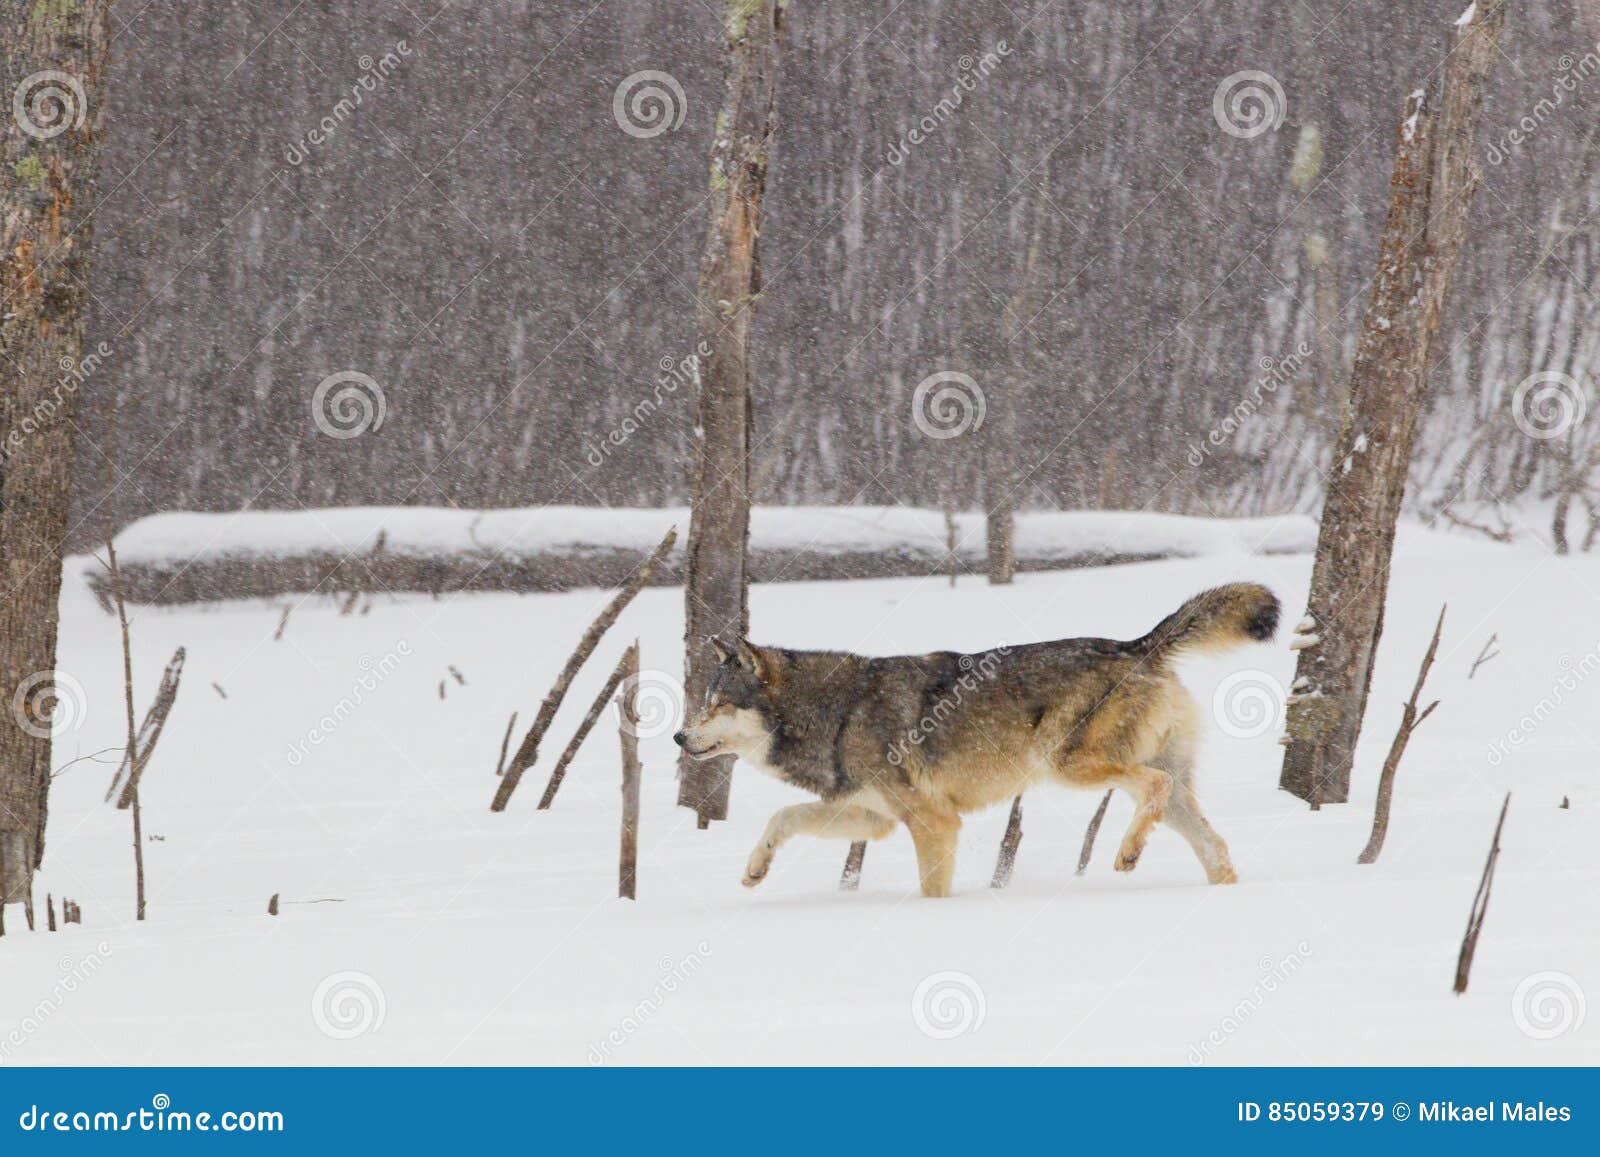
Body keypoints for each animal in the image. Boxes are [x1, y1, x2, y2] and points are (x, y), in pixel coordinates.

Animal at [674, 582, 1280, 897]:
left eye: (718, 703)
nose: (679, 736)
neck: (836, 712)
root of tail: (1138, 645)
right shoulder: (875, 817)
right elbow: (783, 817)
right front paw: (756, 868)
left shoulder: (934, 822)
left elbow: (930, 887)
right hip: (1162, 791)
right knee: (1215, 846)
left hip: (1068, 766)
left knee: (1152, 788)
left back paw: (1127, 854)